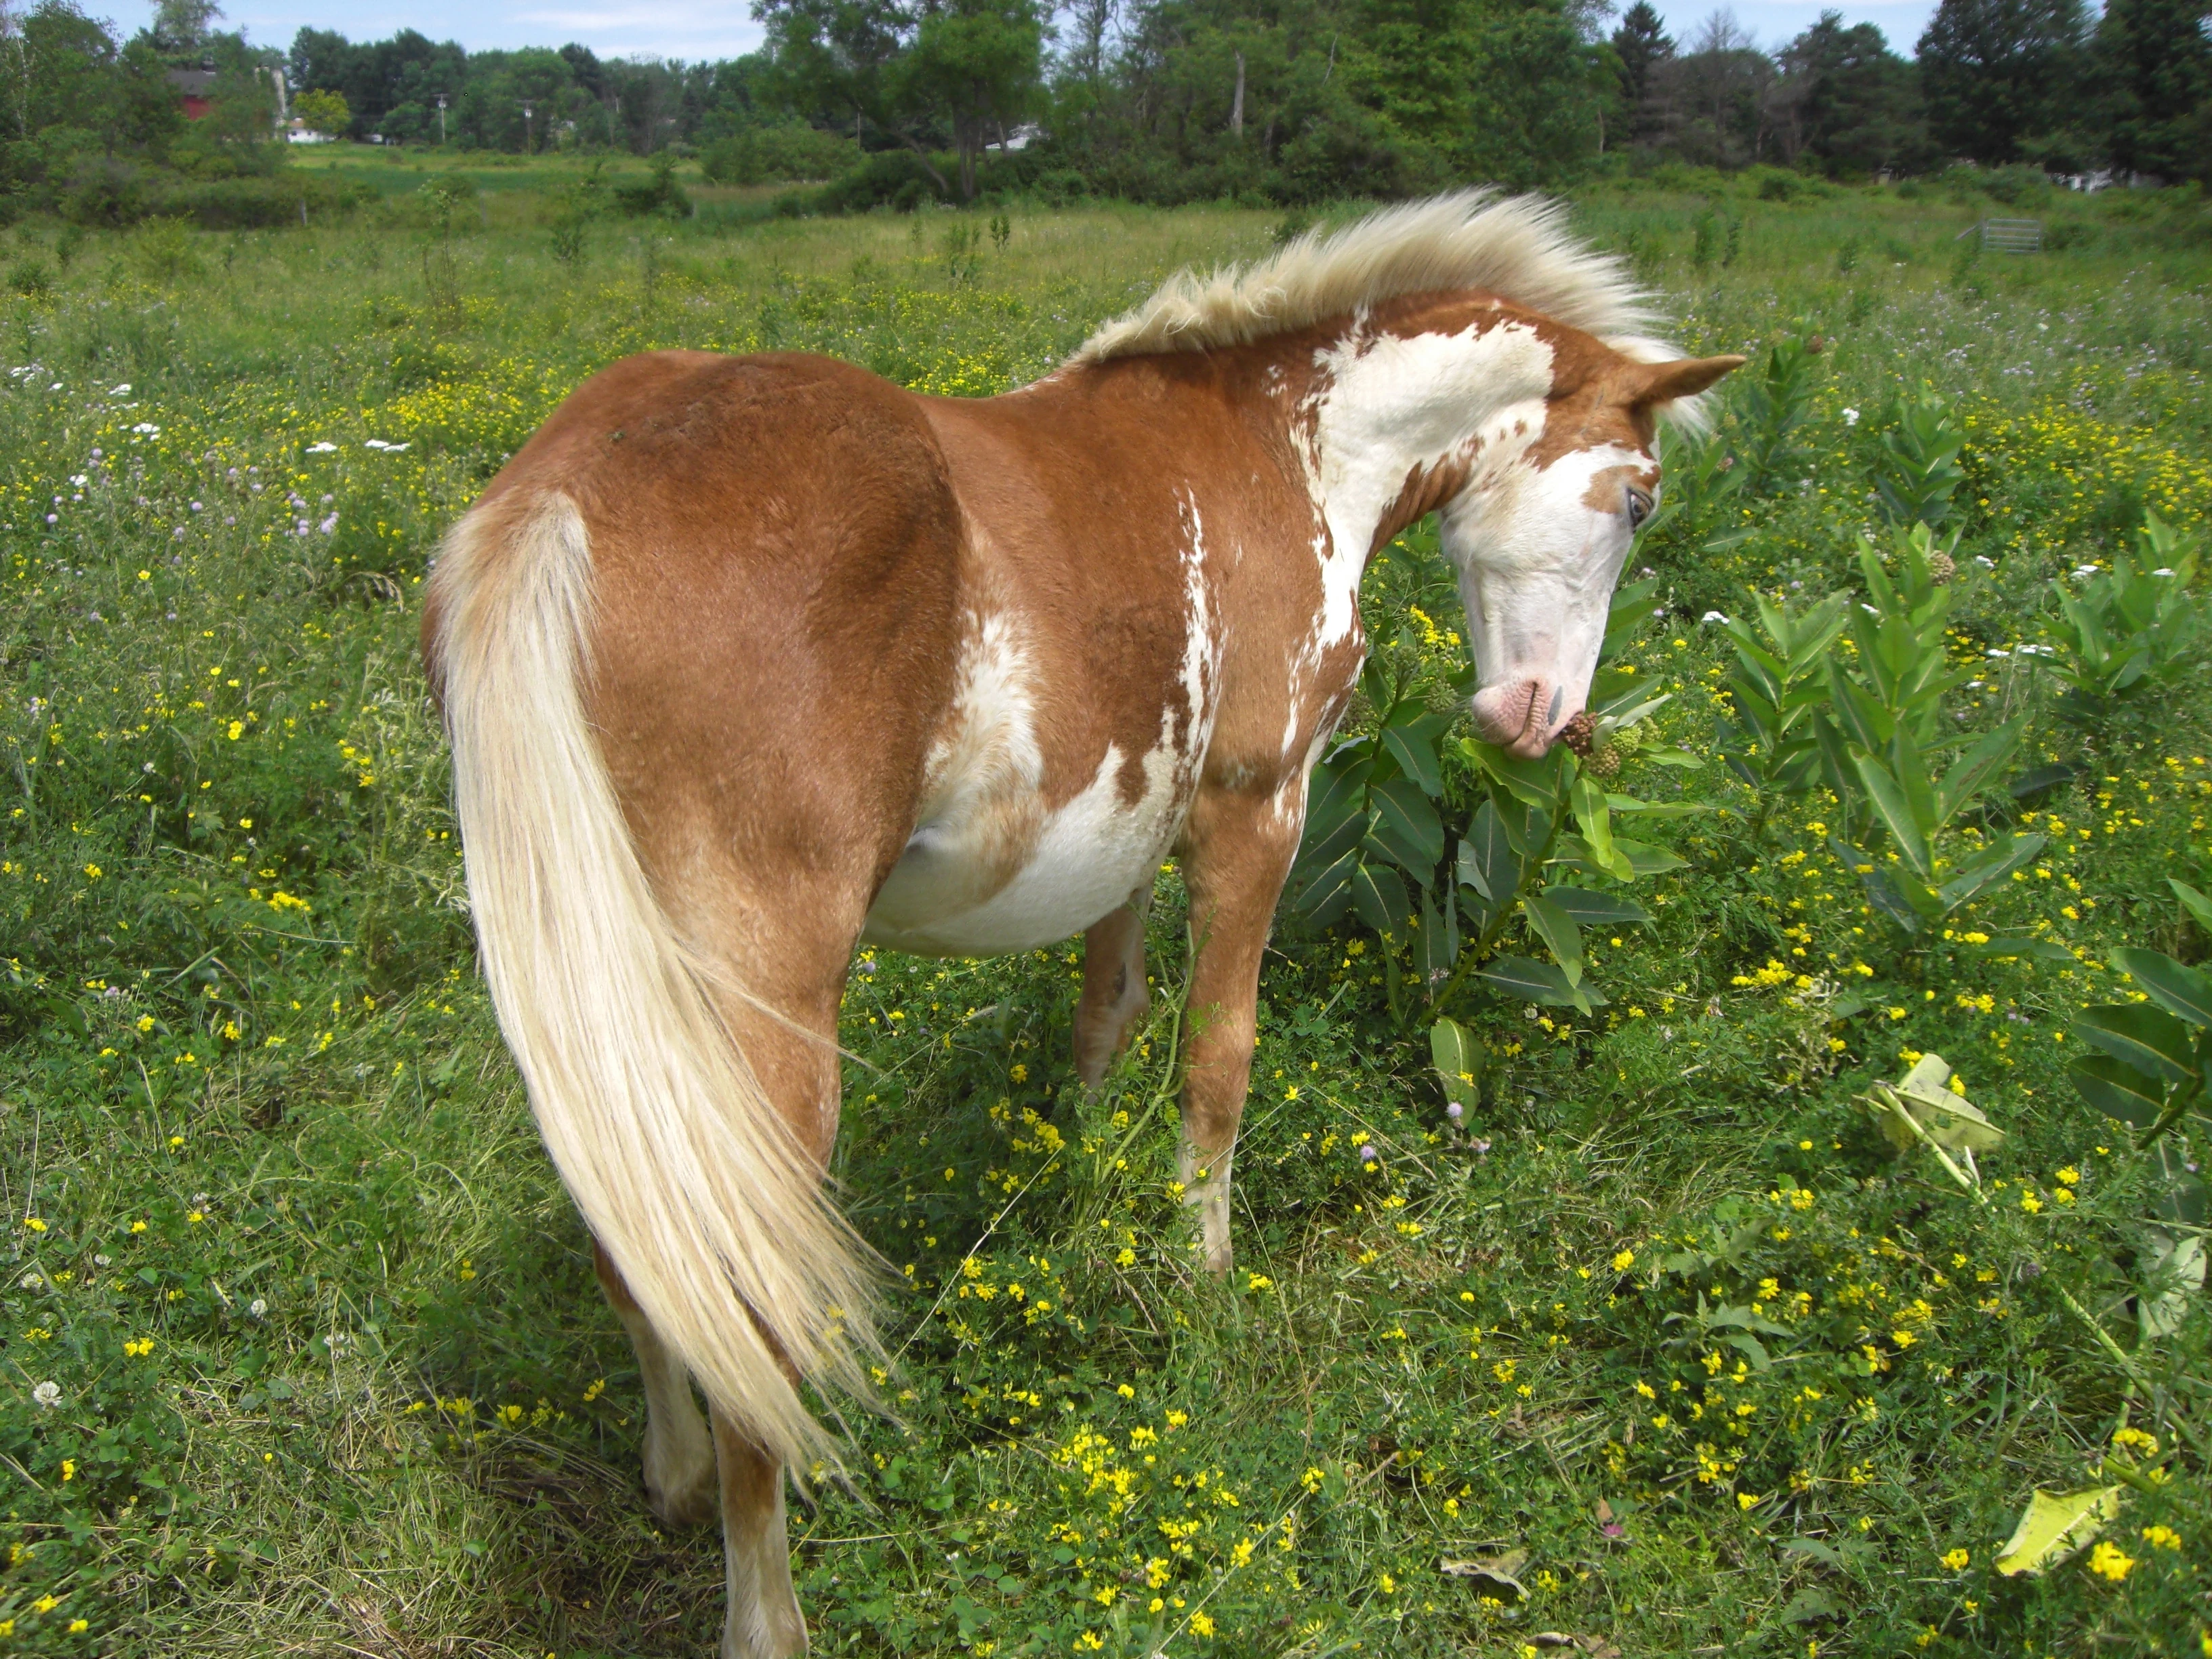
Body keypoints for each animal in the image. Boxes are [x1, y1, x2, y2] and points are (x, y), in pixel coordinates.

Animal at [422, 189, 1741, 1657]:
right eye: (1636, 498)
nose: (1540, 719)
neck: (1286, 449)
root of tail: (566, 490)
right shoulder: (1255, 813)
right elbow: (1218, 1059)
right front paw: (1201, 1274)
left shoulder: (1124, 838)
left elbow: (1104, 1027)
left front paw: (1089, 1203)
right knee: (744, 1307)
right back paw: (766, 1608)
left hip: (615, 1008)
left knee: (636, 1240)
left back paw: (675, 1475)